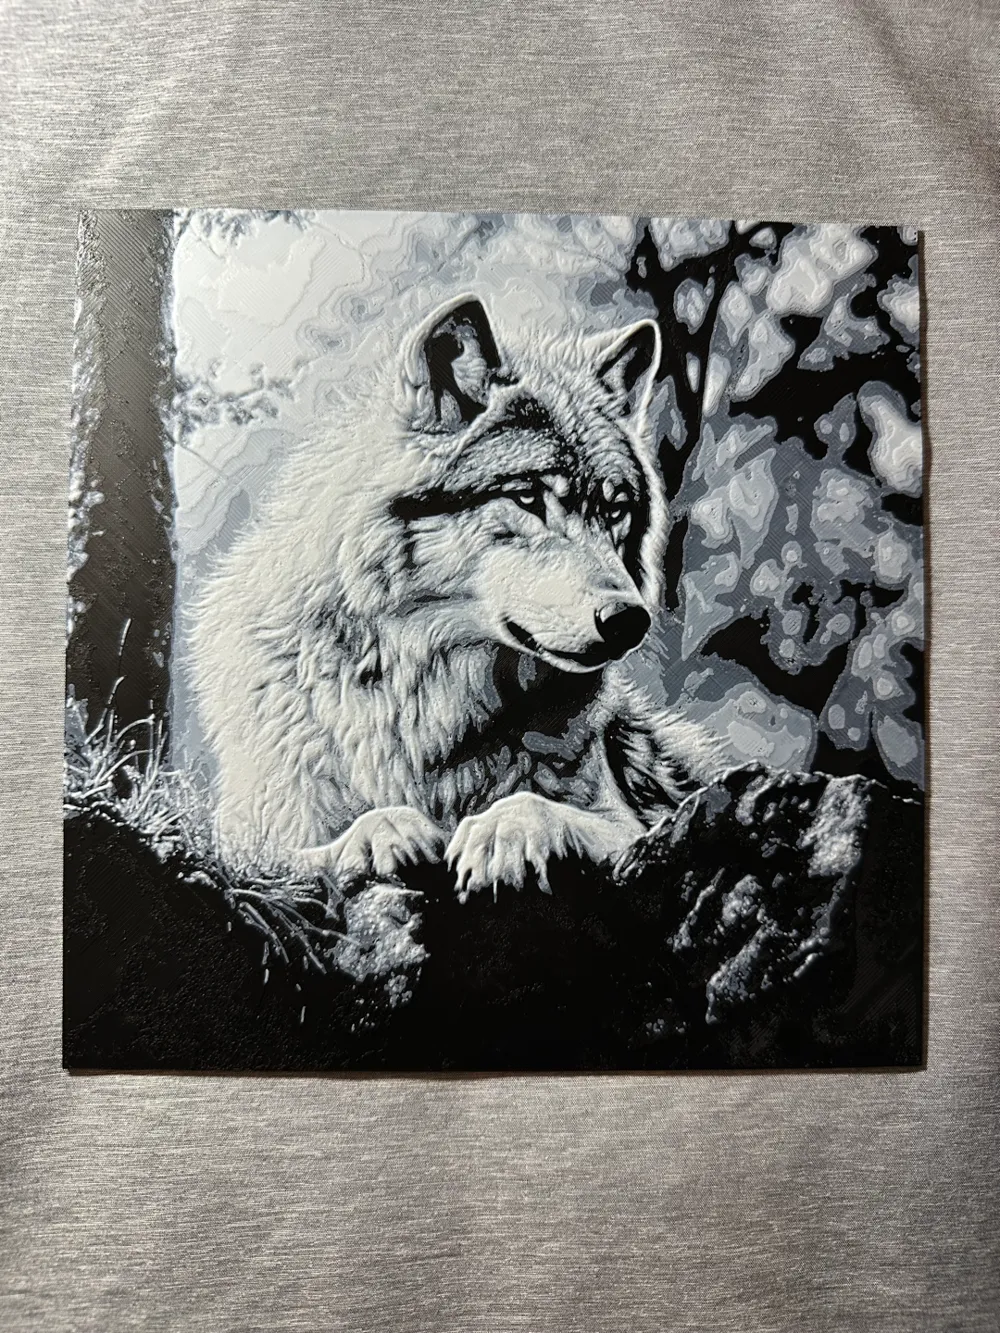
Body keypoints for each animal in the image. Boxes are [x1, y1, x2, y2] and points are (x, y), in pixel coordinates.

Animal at [187, 293, 725, 898]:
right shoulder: (243, 832)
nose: (630, 619)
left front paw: (501, 832)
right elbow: (285, 854)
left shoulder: (632, 826)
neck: (421, 701)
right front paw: (381, 832)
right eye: (527, 497)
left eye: (614, 510)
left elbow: (537, 805)